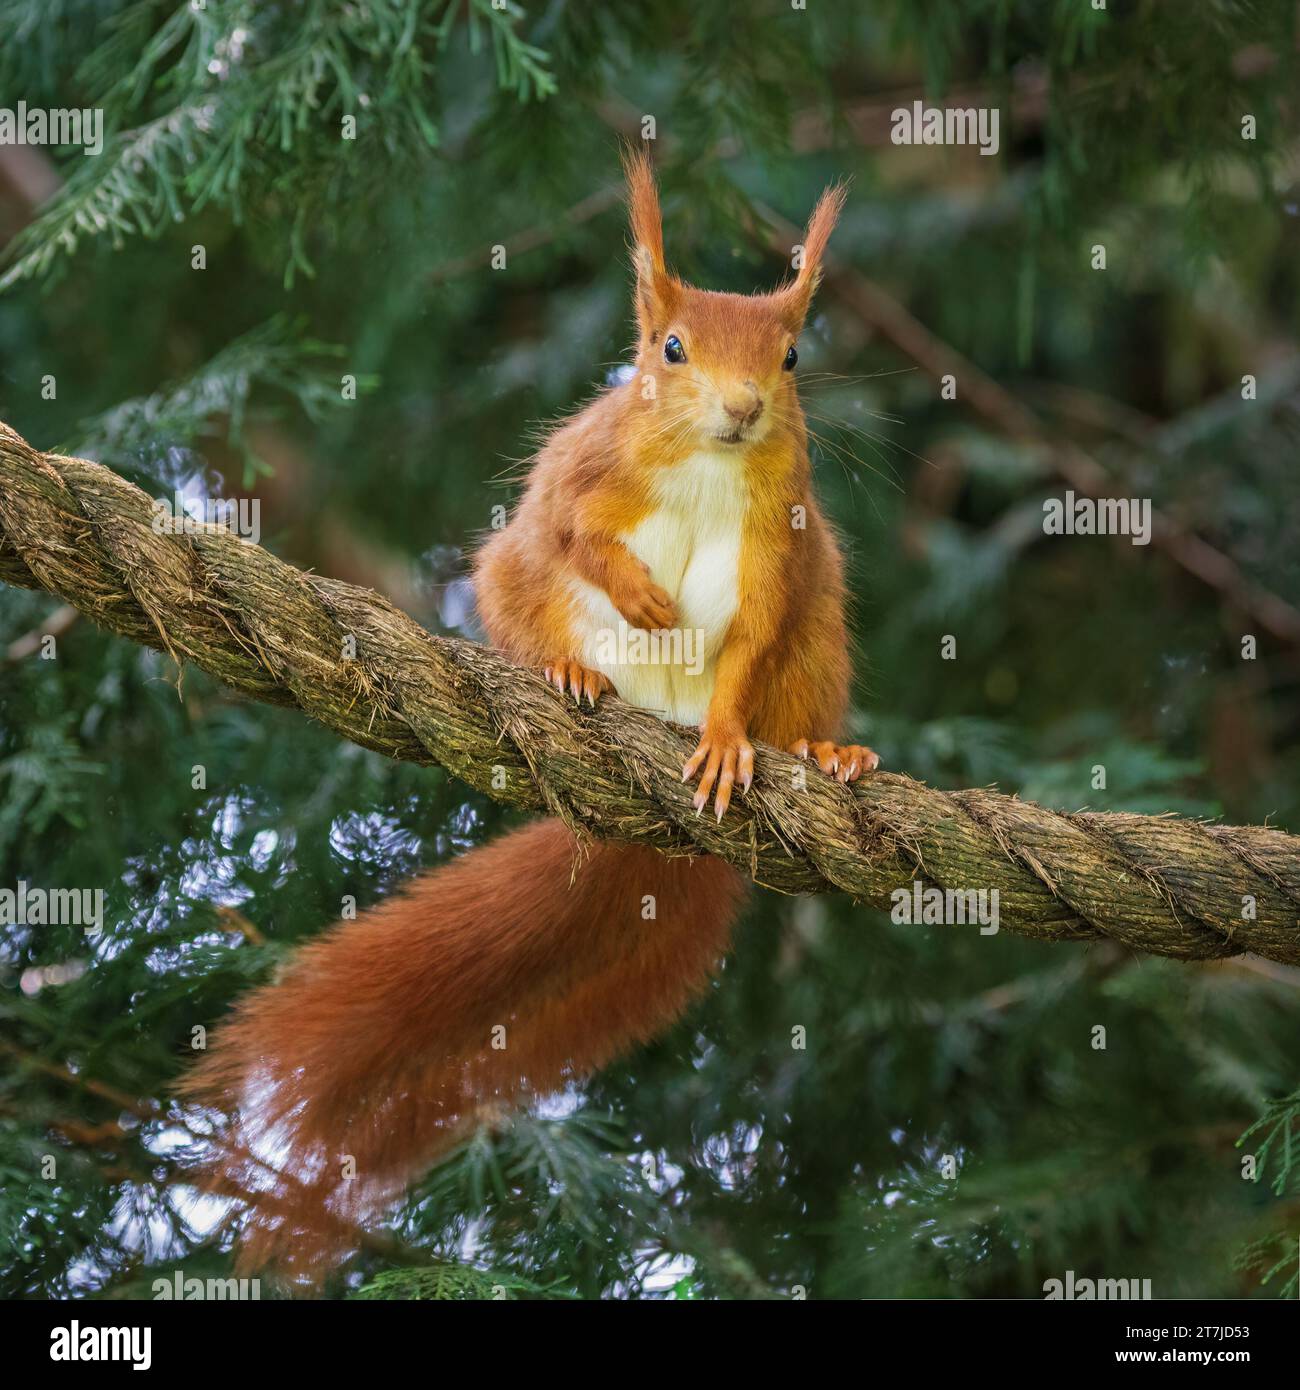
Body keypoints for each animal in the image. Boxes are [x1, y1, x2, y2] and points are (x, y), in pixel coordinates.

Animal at [182, 151, 878, 1276]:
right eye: (668, 349)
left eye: (791, 354)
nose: (742, 409)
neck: (710, 465)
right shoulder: (577, 471)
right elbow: (569, 526)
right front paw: (637, 595)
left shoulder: (780, 548)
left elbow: (744, 650)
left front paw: (729, 740)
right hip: (512, 583)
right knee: (538, 589)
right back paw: (572, 677)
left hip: (820, 625)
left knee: (792, 679)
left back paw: (823, 752)